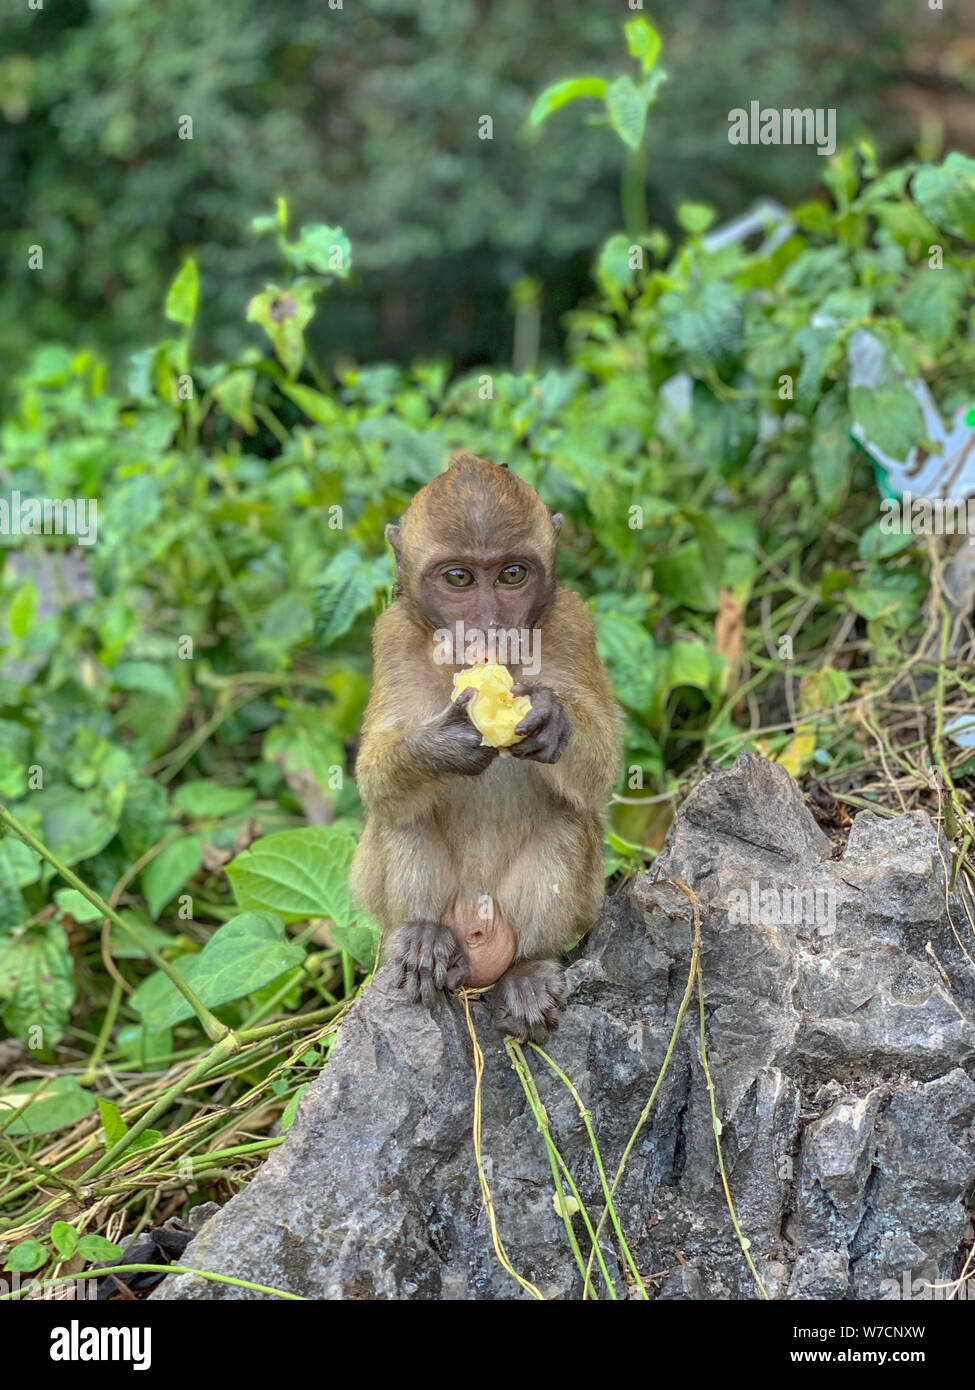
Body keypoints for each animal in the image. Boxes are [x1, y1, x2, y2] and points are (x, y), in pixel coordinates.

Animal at [350, 452, 622, 1042]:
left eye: (512, 574)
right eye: (459, 578)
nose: (490, 627)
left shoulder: (573, 623)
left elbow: (600, 776)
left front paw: (552, 722)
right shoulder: (391, 638)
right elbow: (374, 775)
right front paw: (442, 745)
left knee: (566, 819)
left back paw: (527, 969)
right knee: (403, 816)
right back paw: (424, 937)